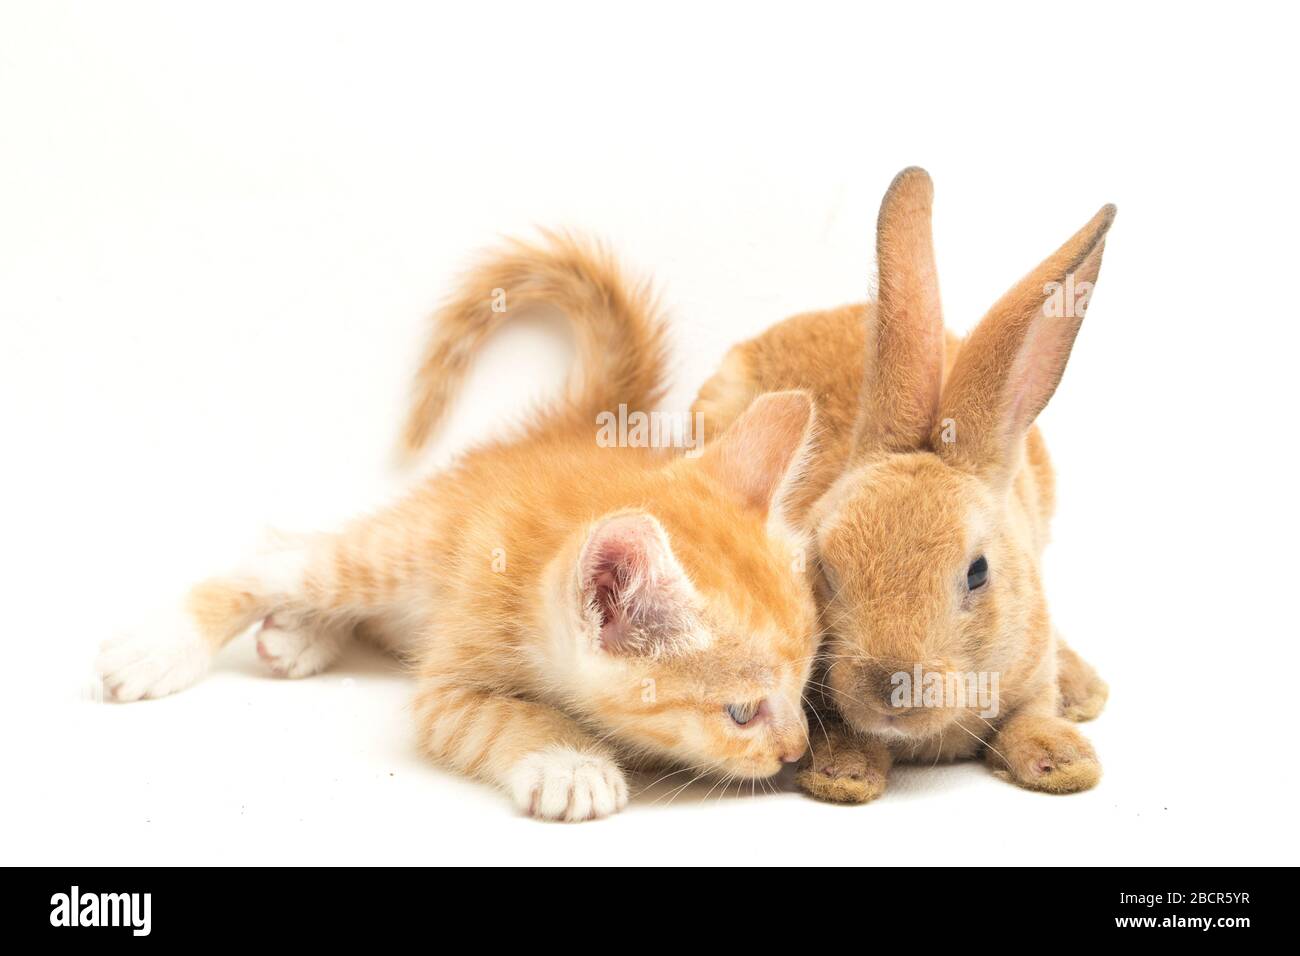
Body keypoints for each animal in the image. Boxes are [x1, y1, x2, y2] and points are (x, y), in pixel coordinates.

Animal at [693, 168, 1113, 802]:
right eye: (823, 567)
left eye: (978, 572)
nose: (891, 686)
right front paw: (845, 775)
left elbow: (1032, 711)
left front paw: (1063, 762)